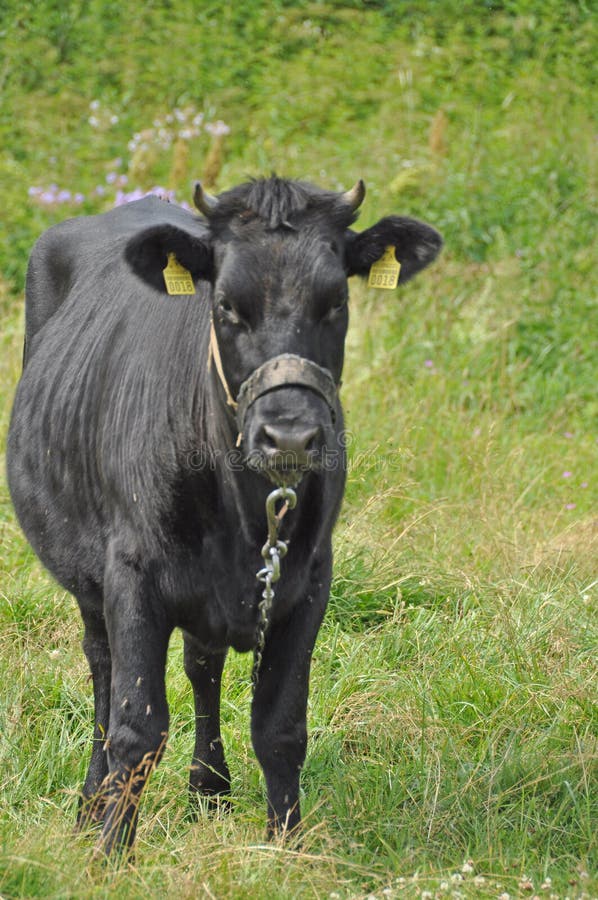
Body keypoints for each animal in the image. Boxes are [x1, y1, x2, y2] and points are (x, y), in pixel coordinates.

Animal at [7, 176, 441, 857]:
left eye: (336, 302)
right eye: (228, 307)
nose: (290, 436)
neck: (245, 511)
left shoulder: (308, 580)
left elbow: (280, 726)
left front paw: (284, 845)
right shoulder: (132, 574)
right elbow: (137, 726)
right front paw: (111, 850)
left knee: (201, 666)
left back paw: (208, 789)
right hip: (86, 574)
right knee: (102, 671)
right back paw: (89, 803)